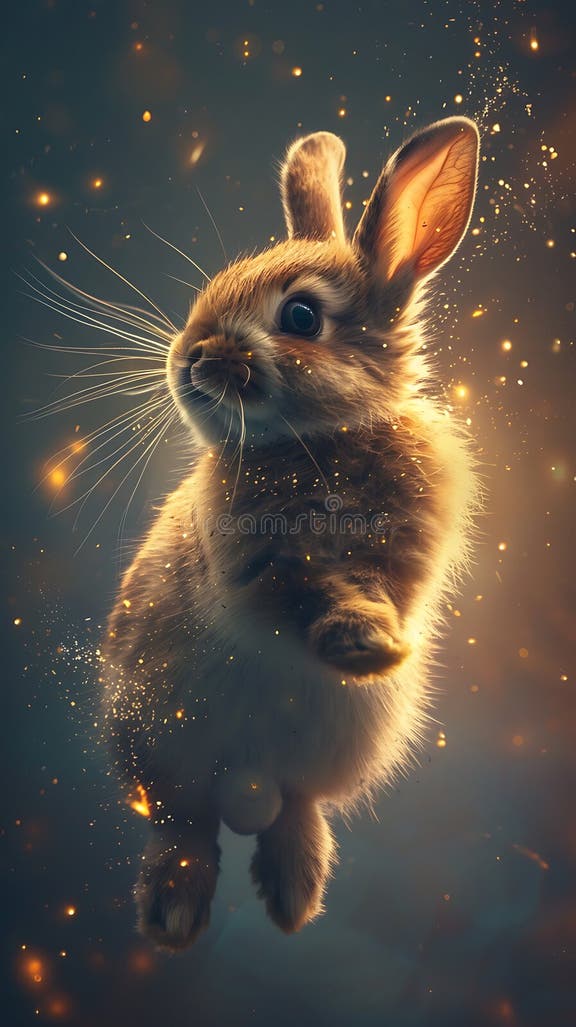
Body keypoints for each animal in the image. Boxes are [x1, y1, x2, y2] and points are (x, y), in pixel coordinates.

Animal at [100, 116, 480, 950]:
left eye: (301, 318)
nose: (190, 356)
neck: (317, 438)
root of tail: (246, 783)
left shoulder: (406, 557)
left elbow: (375, 589)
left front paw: (378, 643)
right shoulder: (253, 565)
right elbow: (294, 592)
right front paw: (367, 643)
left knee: (292, 805)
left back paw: (293, 894)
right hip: (161, 742)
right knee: (184, 824)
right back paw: (174, 914)